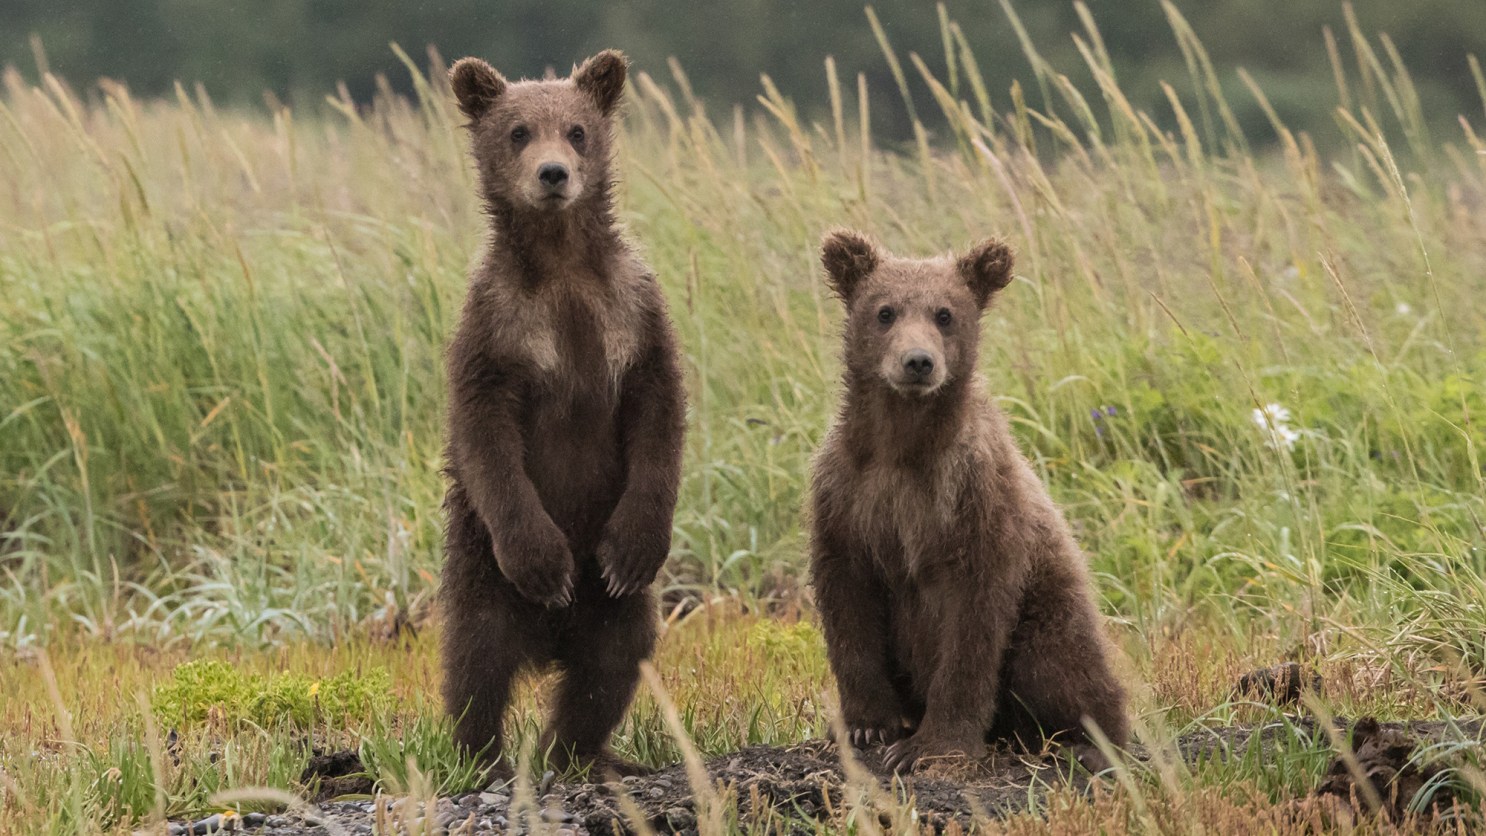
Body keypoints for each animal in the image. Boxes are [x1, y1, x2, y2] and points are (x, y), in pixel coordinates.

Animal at [439, 50, 686, 779]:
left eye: (576, 130)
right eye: (518, 130)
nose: (553, 174)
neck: (562, 263)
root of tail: (549, 640)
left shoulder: (632, 312)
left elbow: (658, 415)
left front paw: (634, 548)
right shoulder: (496, 327)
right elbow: (487, 436)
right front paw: (546, 562)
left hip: (612, 609)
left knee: (610, 663)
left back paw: (583, 754)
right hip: (481, 570)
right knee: (477, 661)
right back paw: (483, 757)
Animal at [808, 230, 1129, 772]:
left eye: (945, 313)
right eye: (885, 311)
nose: (918, 361)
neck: (903, 446)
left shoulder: (974, 499)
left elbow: (972, 628)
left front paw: (928, 746)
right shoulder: (847, 496)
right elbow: (848, 606)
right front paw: (867, 725)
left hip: (1050, 607)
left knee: (1063, 665)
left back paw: (1090, 741)